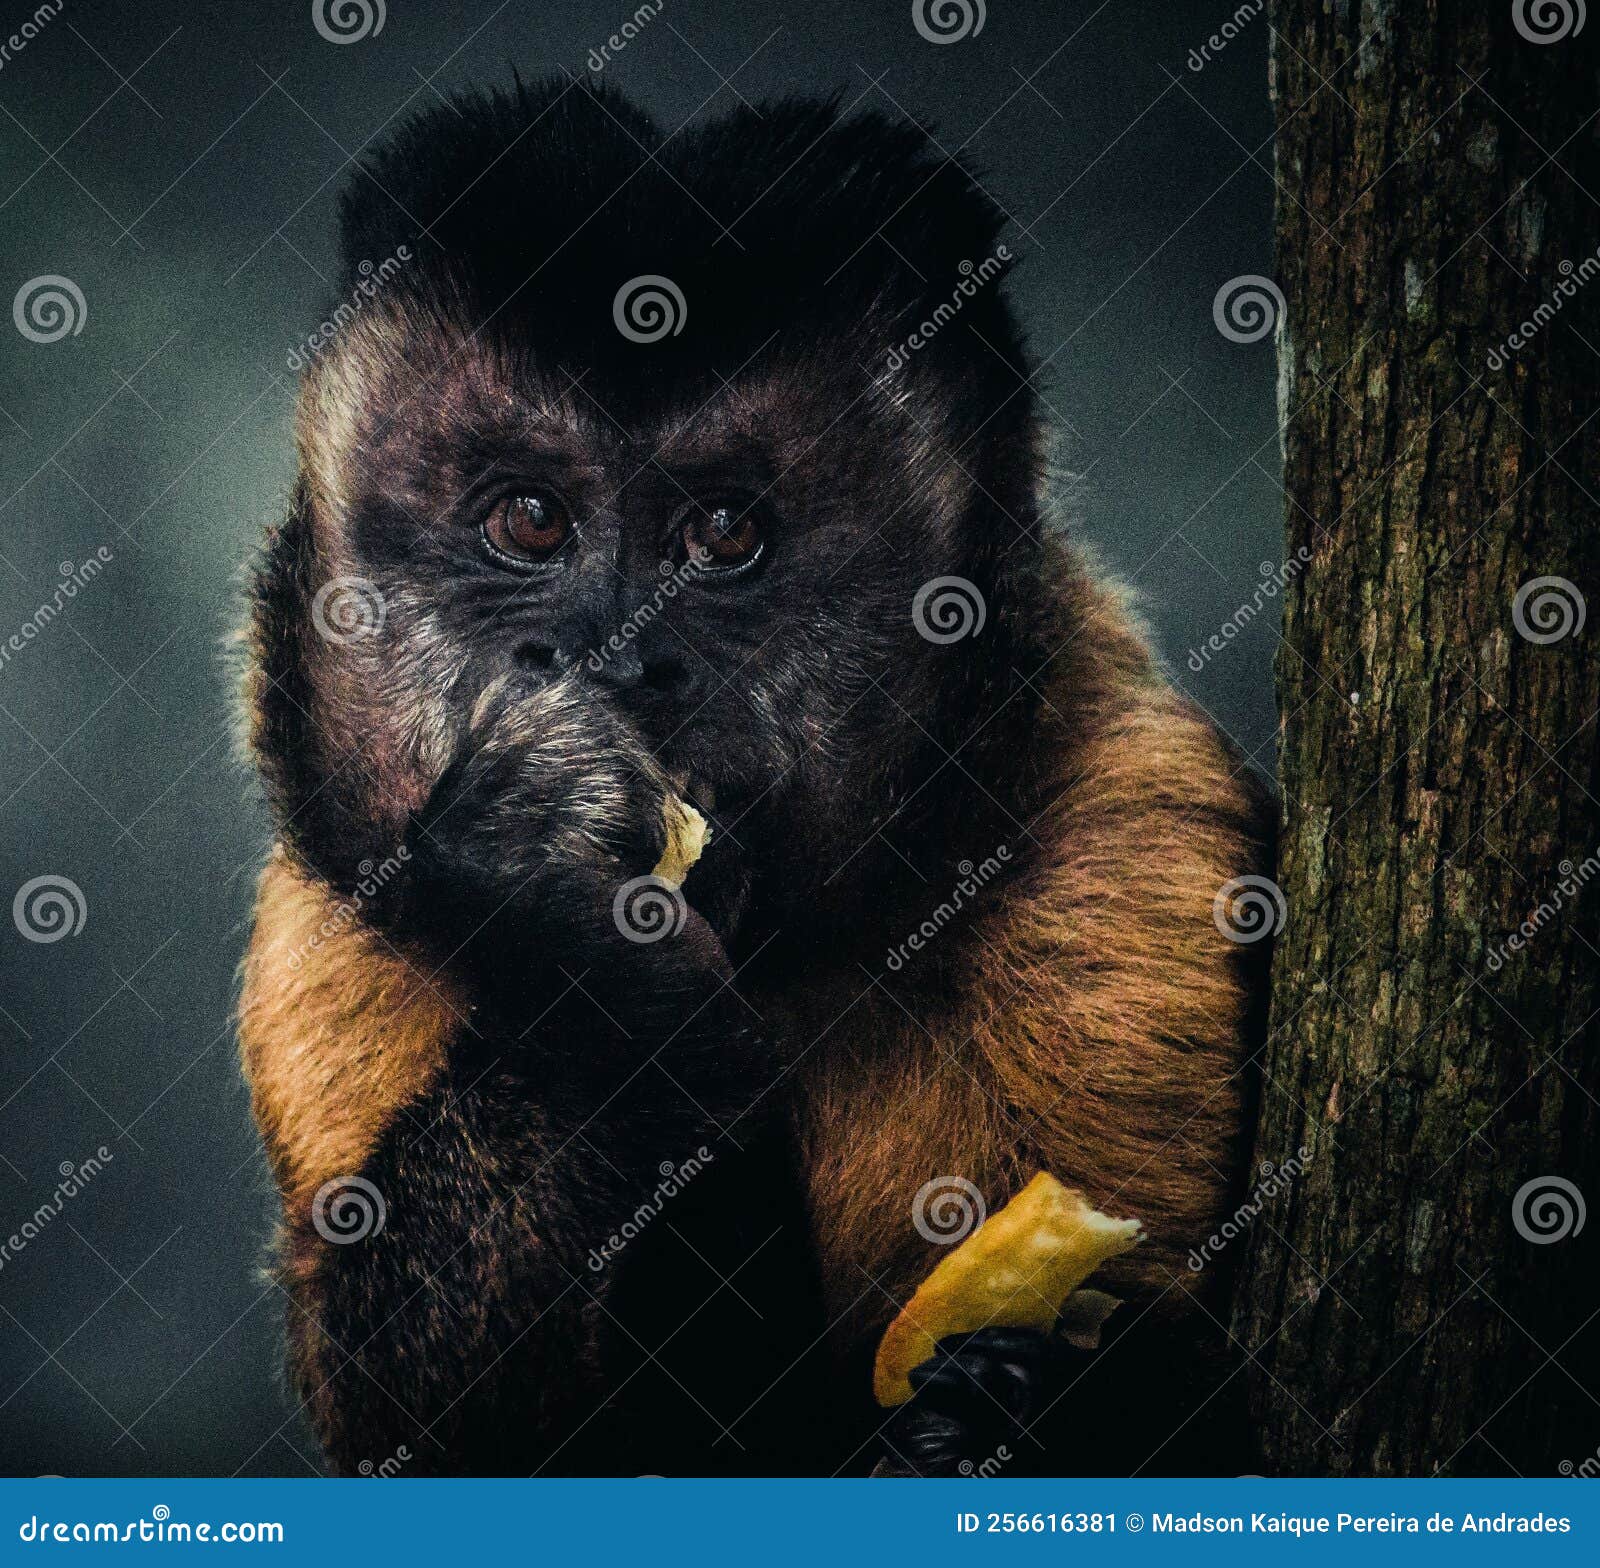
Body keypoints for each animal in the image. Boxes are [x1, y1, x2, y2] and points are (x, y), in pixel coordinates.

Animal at [236, 77, 1272, 1478]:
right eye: (529, 521)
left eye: (722, 535)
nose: (611, 654)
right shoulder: (323, 923)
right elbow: (437, 1443)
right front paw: (581, 960)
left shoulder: (1141, 836)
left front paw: (1048, 1412)